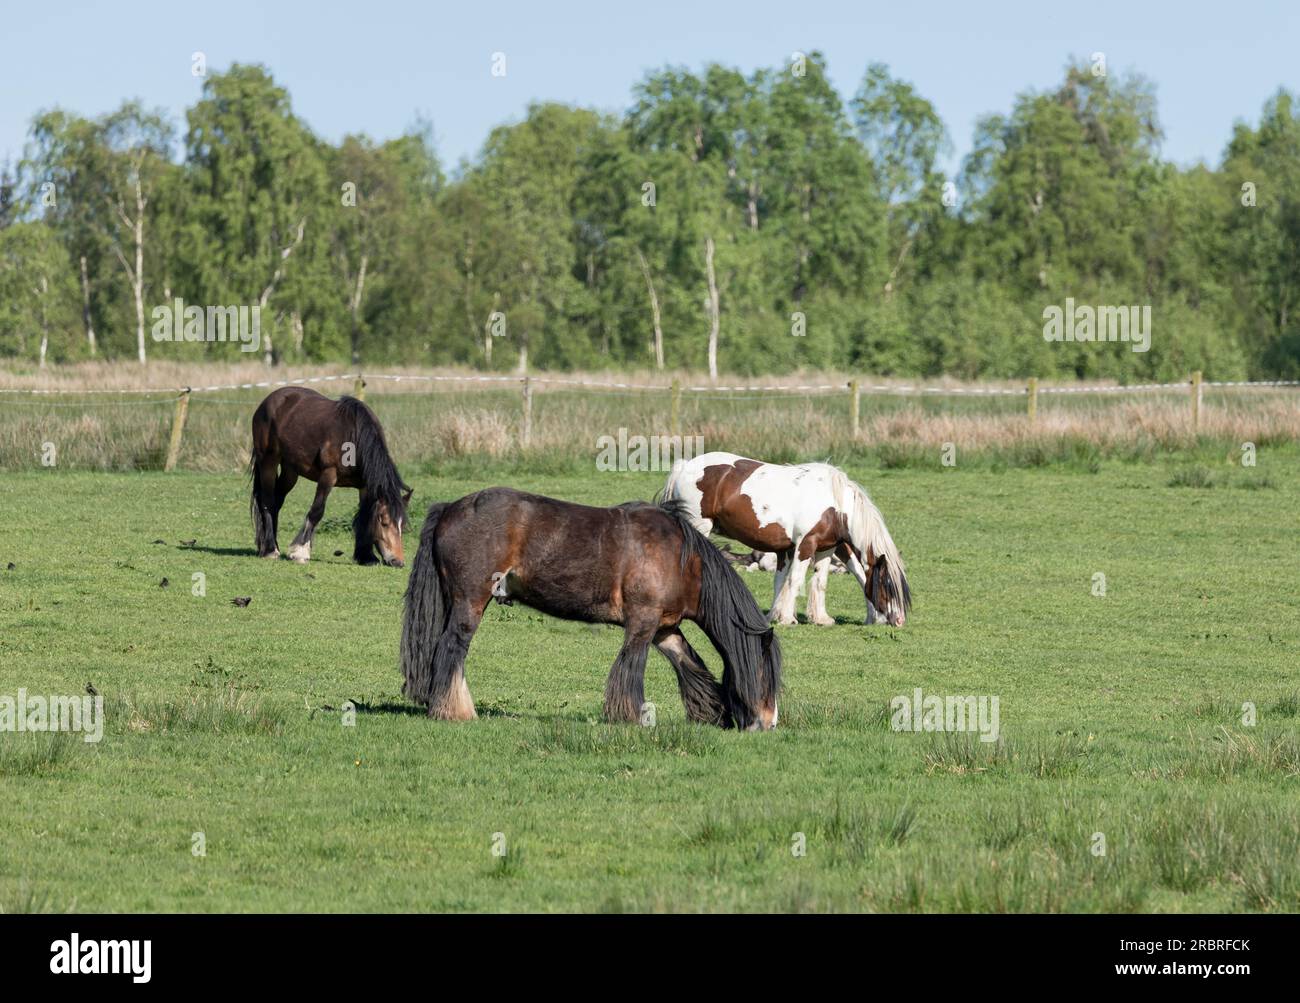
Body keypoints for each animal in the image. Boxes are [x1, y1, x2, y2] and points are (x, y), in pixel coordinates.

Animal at [249, 386, 412, 566]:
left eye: (402, 525)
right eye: (384, 522)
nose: (398, 561)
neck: (354, 437)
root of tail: (269, 400)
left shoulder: (365, 486)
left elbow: (364, 516)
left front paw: (366, 556)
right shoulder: (328, 475)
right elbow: (317, 511)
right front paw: (300, 552)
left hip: (290, 470)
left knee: (277, 501)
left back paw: (269, 545)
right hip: (268, 462)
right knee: (268, 502)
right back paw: (270, 550)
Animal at [399, 487, 782, 730]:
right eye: (766, 675)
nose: (769, 723)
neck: (680, 558)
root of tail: (450, 508)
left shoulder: (665, 628)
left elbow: (691, 667)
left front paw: (712, 715)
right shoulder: (642, 623)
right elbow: (631, 667)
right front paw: (631, 717)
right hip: (471, 602)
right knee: (452, 649)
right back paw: (456, 712)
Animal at [662, 451, 910, 627]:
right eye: (888, 584)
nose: (899, 621)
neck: (835, 505)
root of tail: (685, 465)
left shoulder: (826, 548)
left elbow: (817, 581)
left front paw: (817, 618)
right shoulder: (805, 545)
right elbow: (795, 580)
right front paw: (787, 619)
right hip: (699, 528)